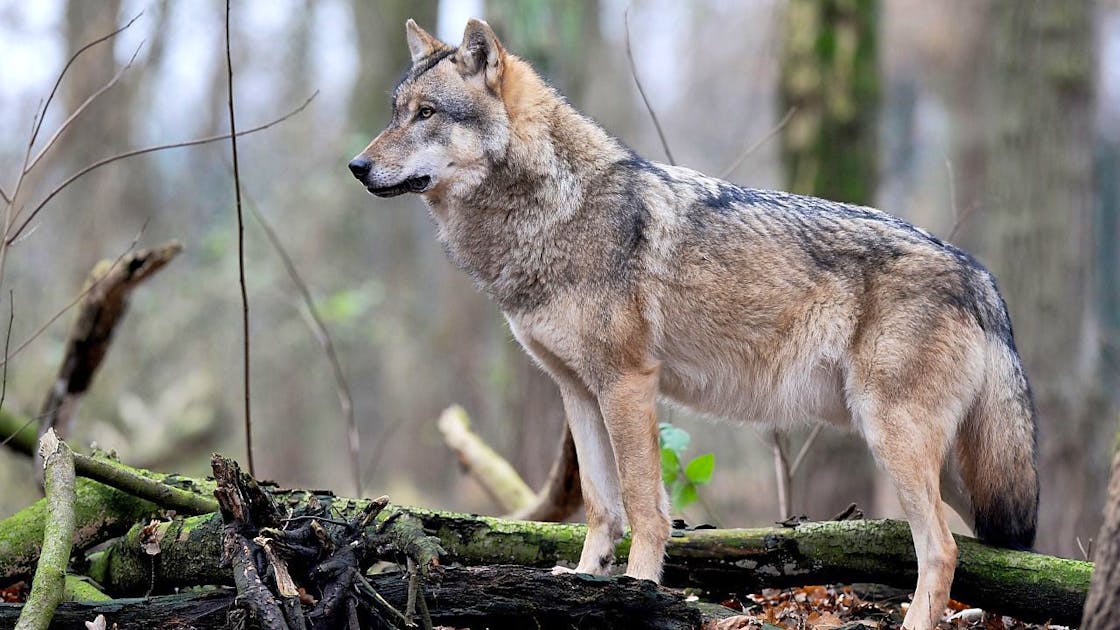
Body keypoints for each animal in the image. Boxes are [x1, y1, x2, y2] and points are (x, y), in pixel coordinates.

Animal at [348, 19, 1038, 630]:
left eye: (427, 114)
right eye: (395, 112)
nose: (356, 166)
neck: (554, 210)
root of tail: (980, 274)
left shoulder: (628, 383)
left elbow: (644, 507)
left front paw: (638, 590)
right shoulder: (578, 391)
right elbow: (600, 506)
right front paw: (585, 584)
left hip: (895, 438)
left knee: (943, 549)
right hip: (944, 462)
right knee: (980, 547)